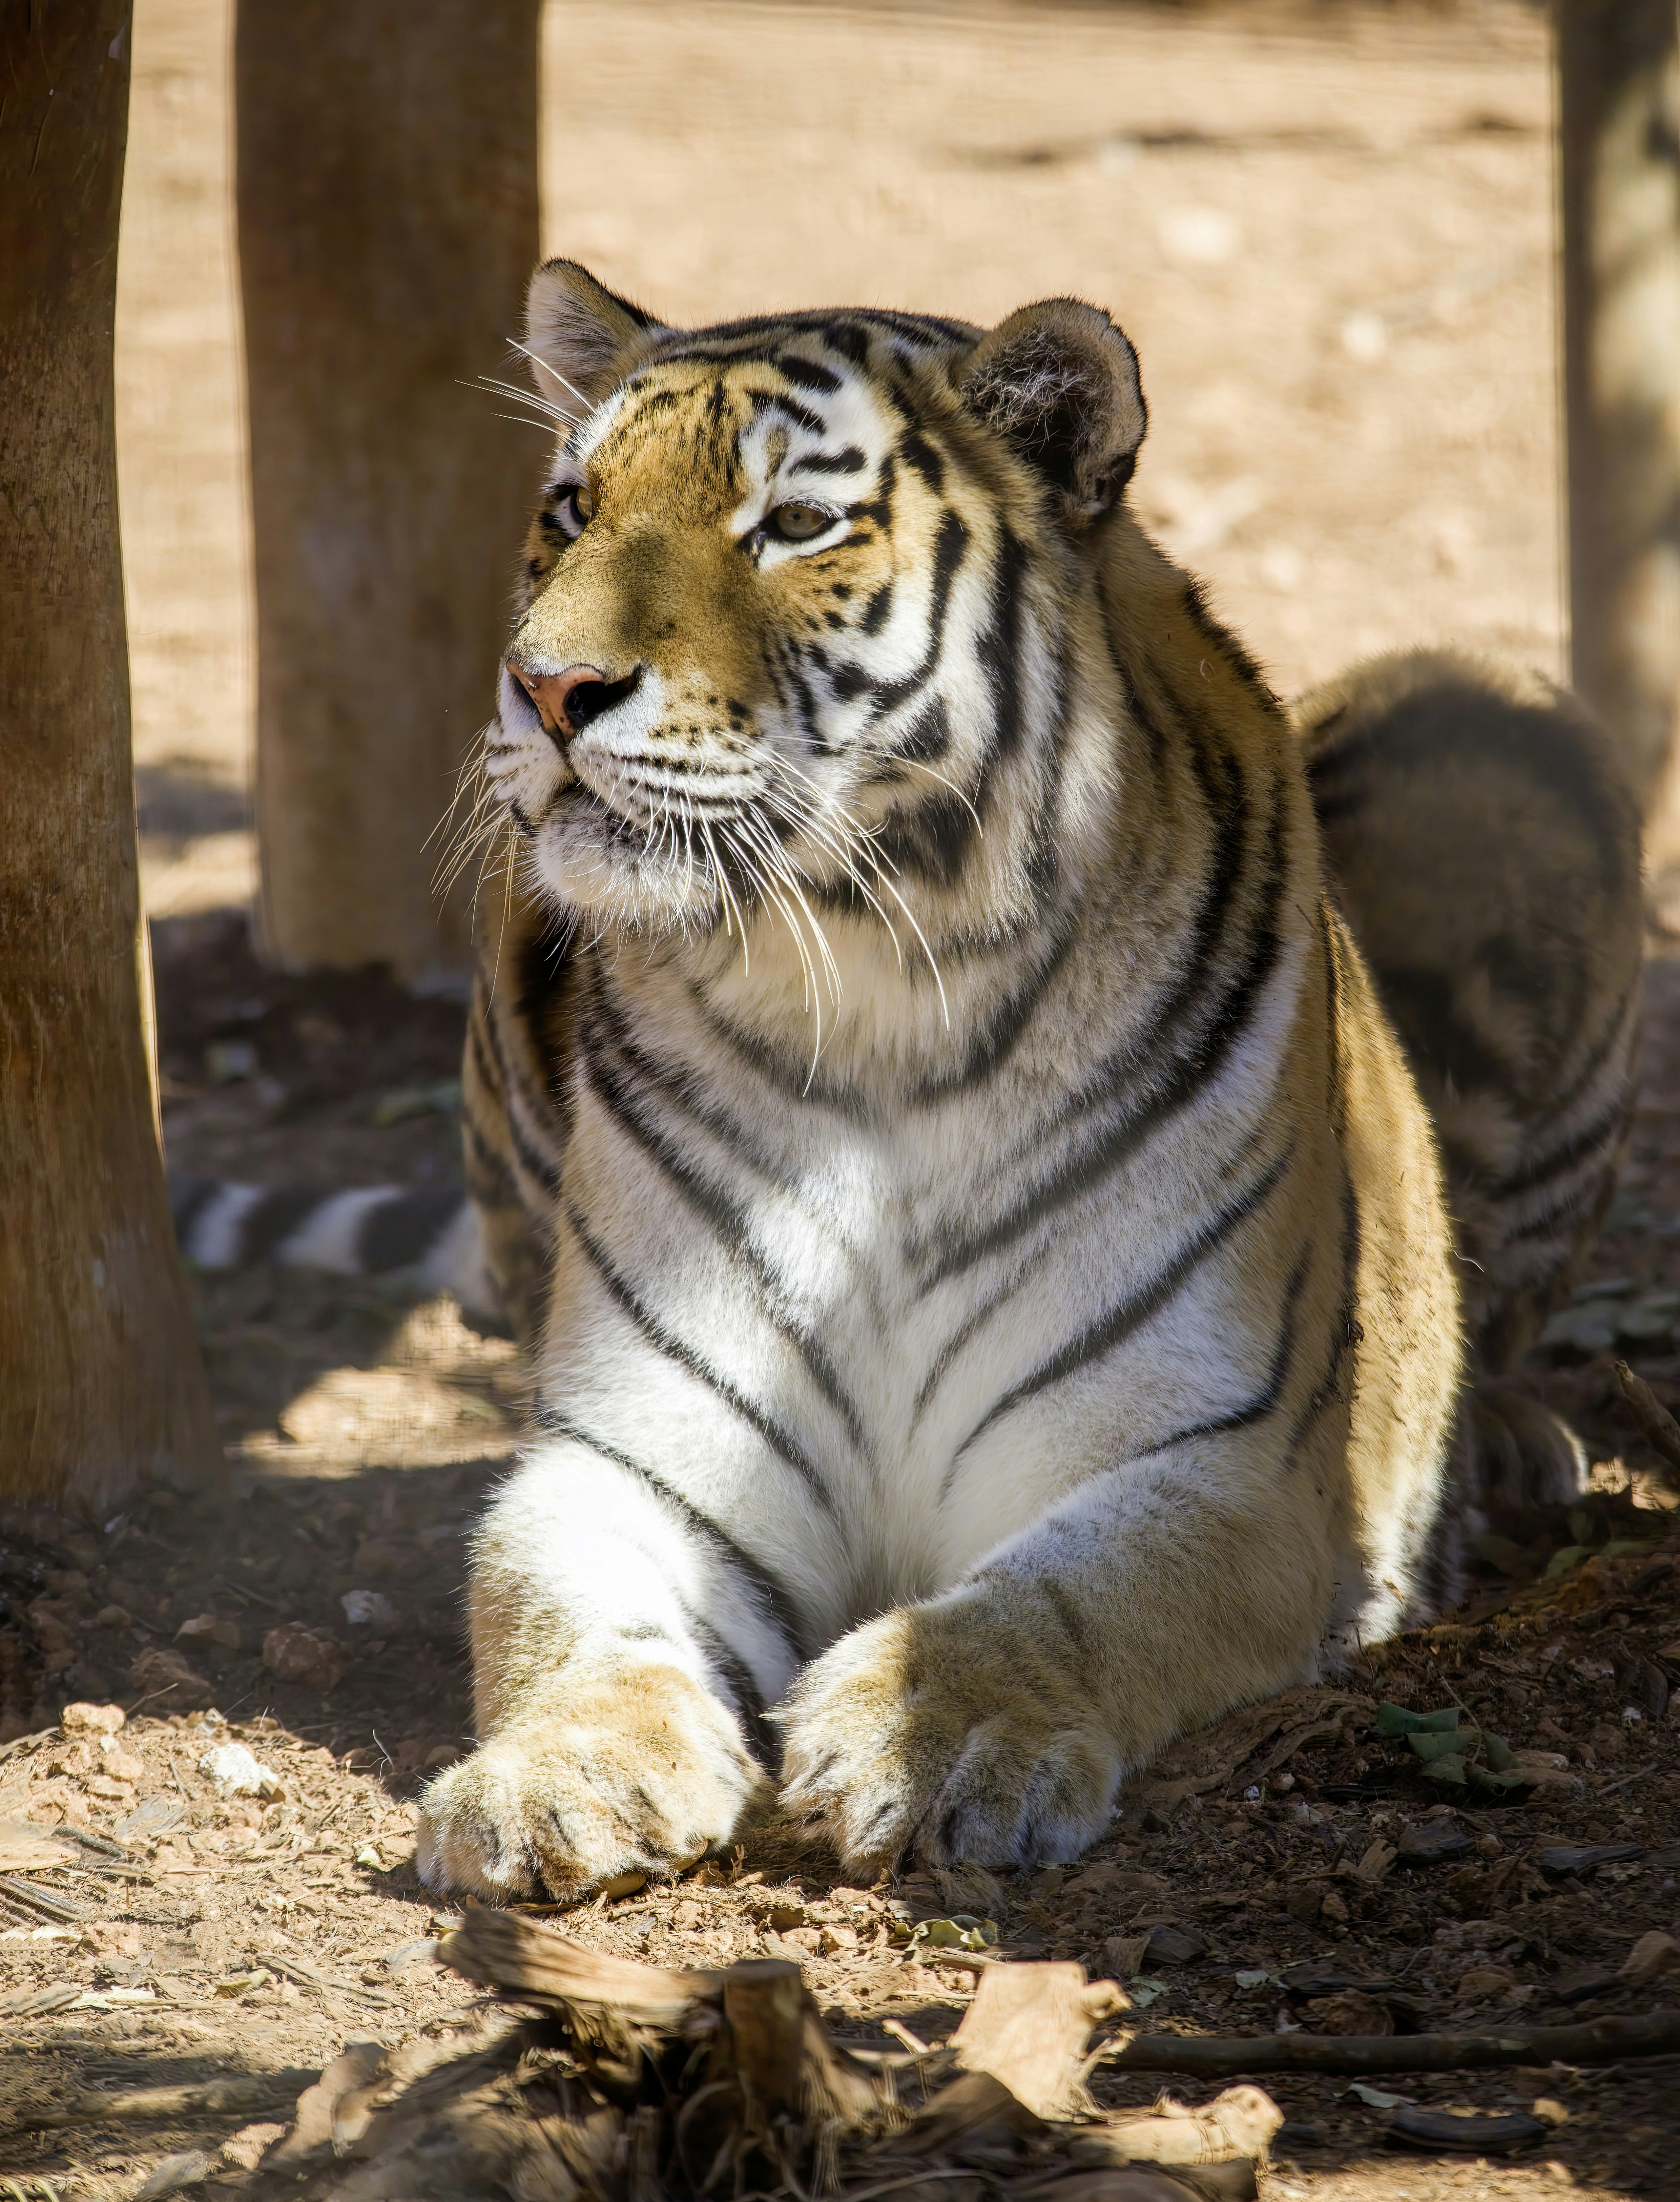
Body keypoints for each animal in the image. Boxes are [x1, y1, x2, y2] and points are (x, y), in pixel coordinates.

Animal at [178, 260, 1643, 1900]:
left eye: (796, 524)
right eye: (571, 505)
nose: (547, 687)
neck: (873, 1002)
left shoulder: (1218, 1460)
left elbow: (1058, 1598)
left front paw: (927, 1733)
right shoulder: (633, 1450)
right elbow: (557, 1605)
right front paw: (559, 1779)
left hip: (1500, 729)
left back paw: (1506, 1442)